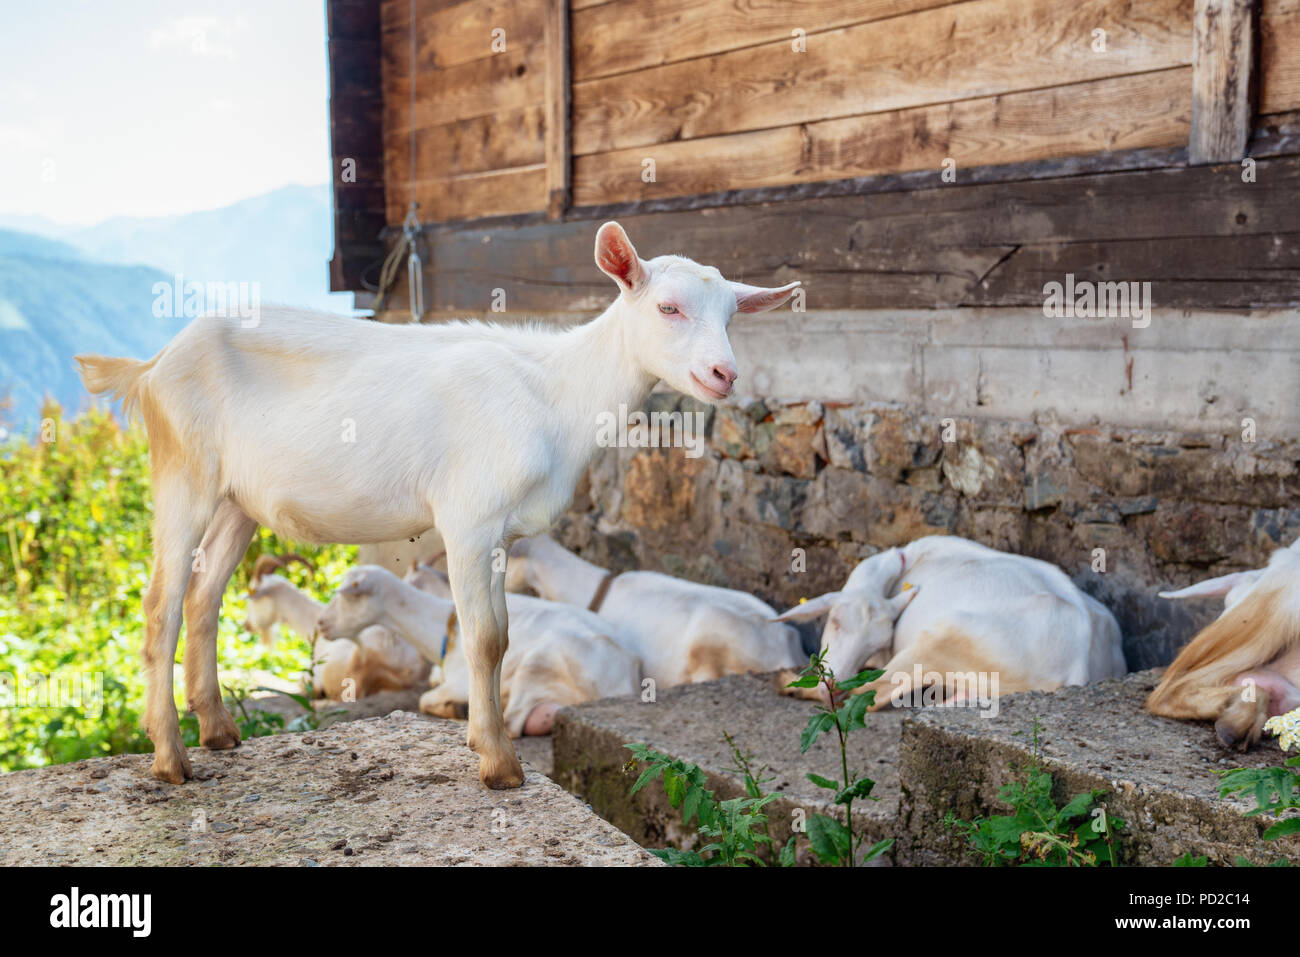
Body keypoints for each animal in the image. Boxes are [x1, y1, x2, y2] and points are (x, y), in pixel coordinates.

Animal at [314, 564, 639, 738]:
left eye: (347, 596)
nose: (320, 624)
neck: (444, 629)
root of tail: (624, 678)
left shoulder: (461, 679)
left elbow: (423, 698)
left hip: (538, 661)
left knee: (510, 722)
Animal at [769, 535, 1128, 707]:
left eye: (877, 642)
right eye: (836, 622)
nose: (833, 685)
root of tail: (1080, 662)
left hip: (940, 637)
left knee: (870, 696)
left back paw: (790, 682)